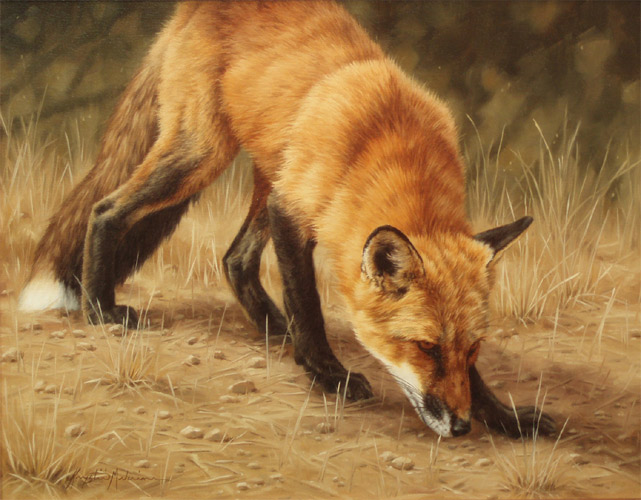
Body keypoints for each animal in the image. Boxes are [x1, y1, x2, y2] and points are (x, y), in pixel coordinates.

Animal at [19, 1, 556, 438]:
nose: (461, 427)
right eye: (425, 348)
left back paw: (271, 327)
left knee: (234, 259)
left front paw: (504, 416)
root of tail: (196, 5)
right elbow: (308, 304)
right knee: (105, 209)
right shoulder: (292, 214)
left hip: (266, 176)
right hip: (201, 156)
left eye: (473, 349)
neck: (390, 147)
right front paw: (329, 375)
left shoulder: (291, 205)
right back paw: (99, 307)